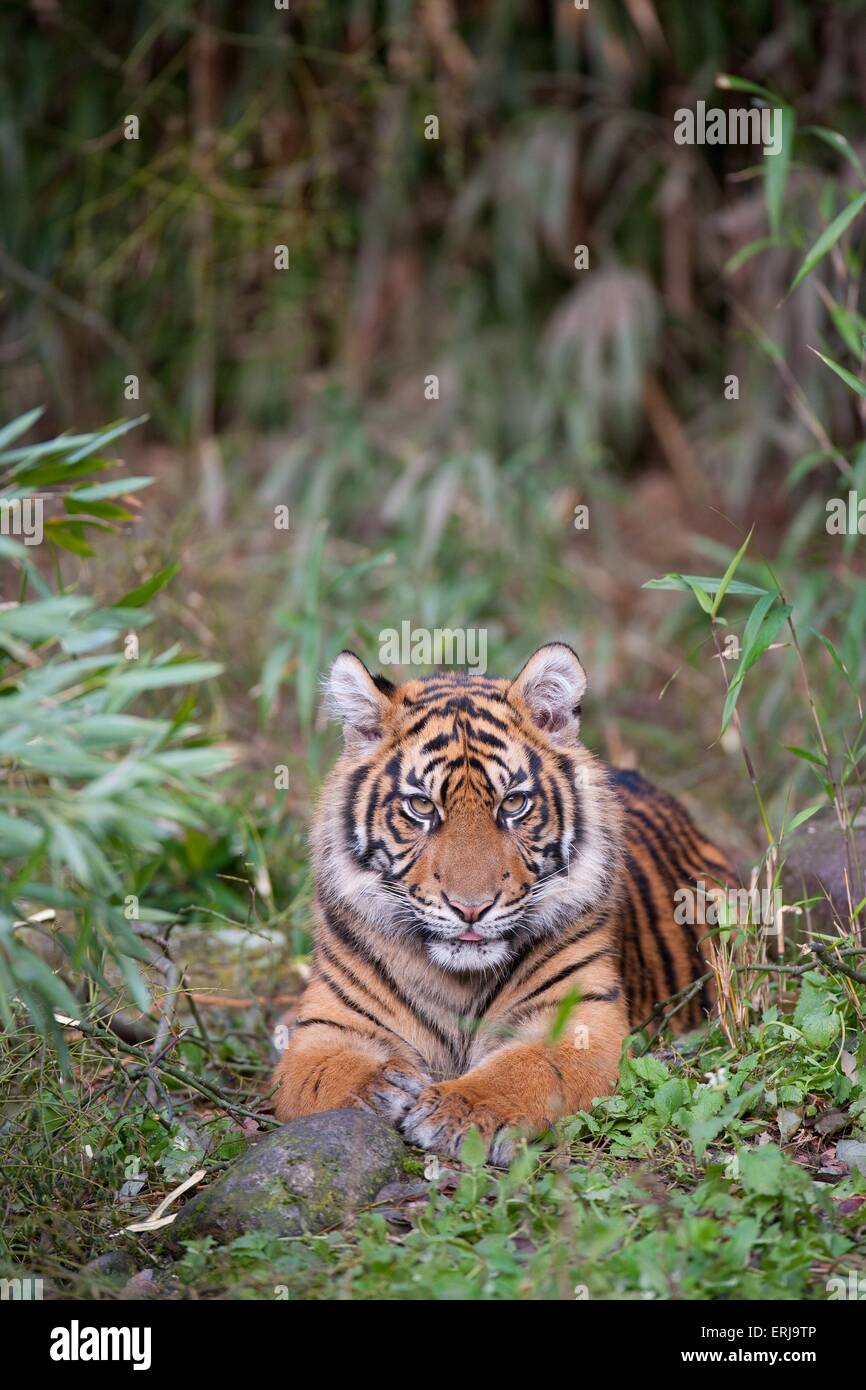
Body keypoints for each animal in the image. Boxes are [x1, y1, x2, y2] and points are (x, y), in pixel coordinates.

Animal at [272, 642, 735, 1164]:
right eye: (422, 806)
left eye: (513, 804)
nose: (471, 908)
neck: (457, 982)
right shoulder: (320, 1029)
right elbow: (325, 1073)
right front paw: (383, 1087)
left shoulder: (583, 1023)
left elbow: (527, 1066)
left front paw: (457, 1110)